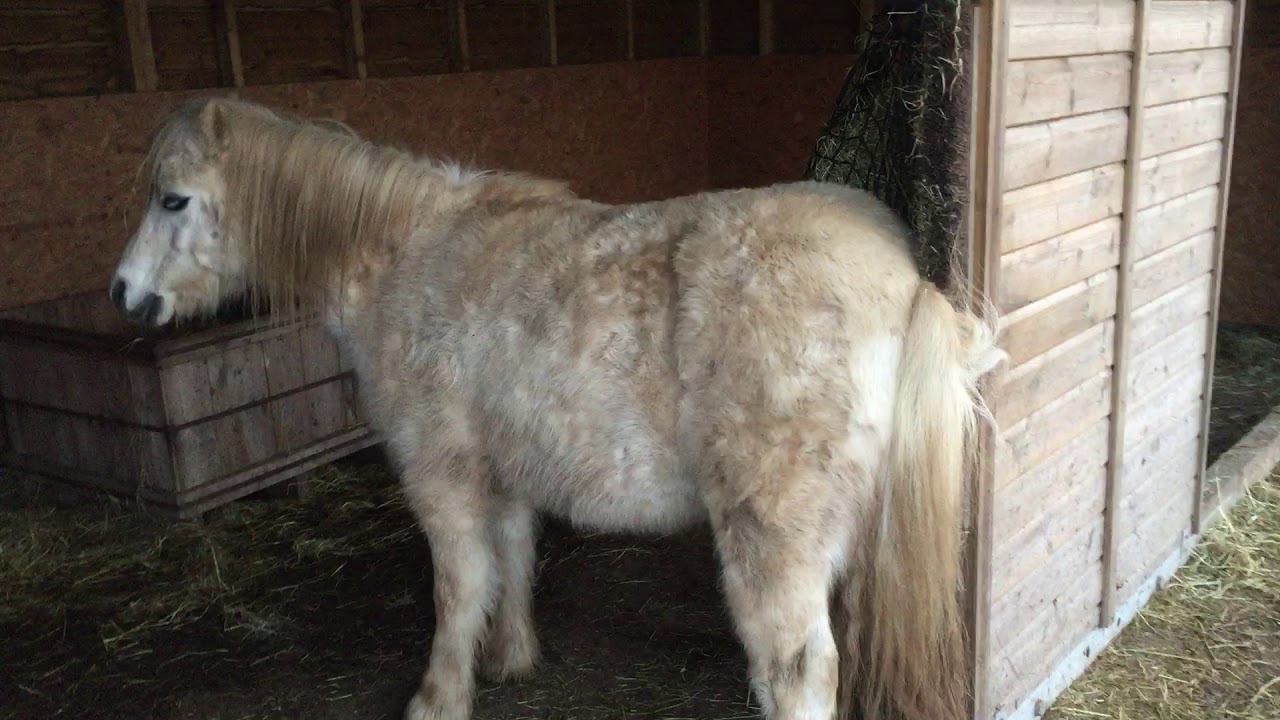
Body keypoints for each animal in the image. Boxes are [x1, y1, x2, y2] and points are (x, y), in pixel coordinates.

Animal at [109, 97, 1003, 720]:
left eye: (173, 200)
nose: (124, 293)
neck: (406, 257)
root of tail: (903, 280)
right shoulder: (501, 472)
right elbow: (511, 561)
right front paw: (511, 659)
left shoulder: (439, 475)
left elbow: (457, 587)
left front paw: (439, 698)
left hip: (773, 540)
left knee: (798, 671)